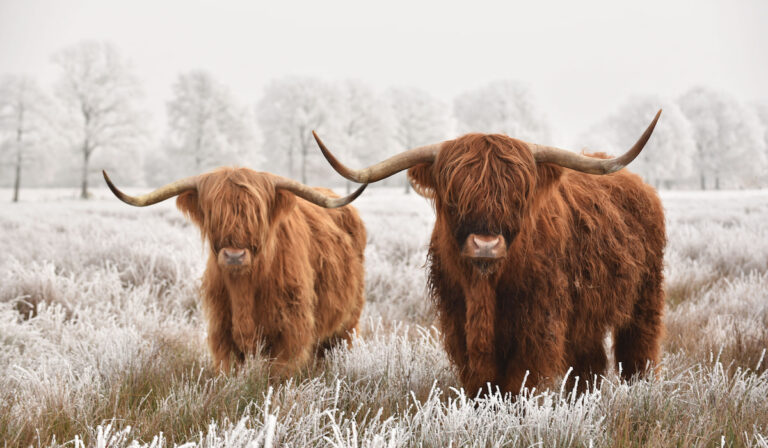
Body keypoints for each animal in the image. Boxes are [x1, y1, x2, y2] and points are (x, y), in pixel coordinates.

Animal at [103, 167, 367, 376]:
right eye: (213, 213)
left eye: (256, 214)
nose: (234, 255)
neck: (244, 288)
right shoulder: (221, 332)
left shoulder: (291, 333)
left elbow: (278, 376)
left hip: (347, 323)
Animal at [312, 110, 665, 395]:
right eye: (453, 195)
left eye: (517, 195)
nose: (485, 244)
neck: (484, 288)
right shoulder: (458, 322)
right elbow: (481, 384)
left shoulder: (538, 325)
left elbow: (521, 383)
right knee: (590, 363)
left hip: (645, 298)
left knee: (638, 351)